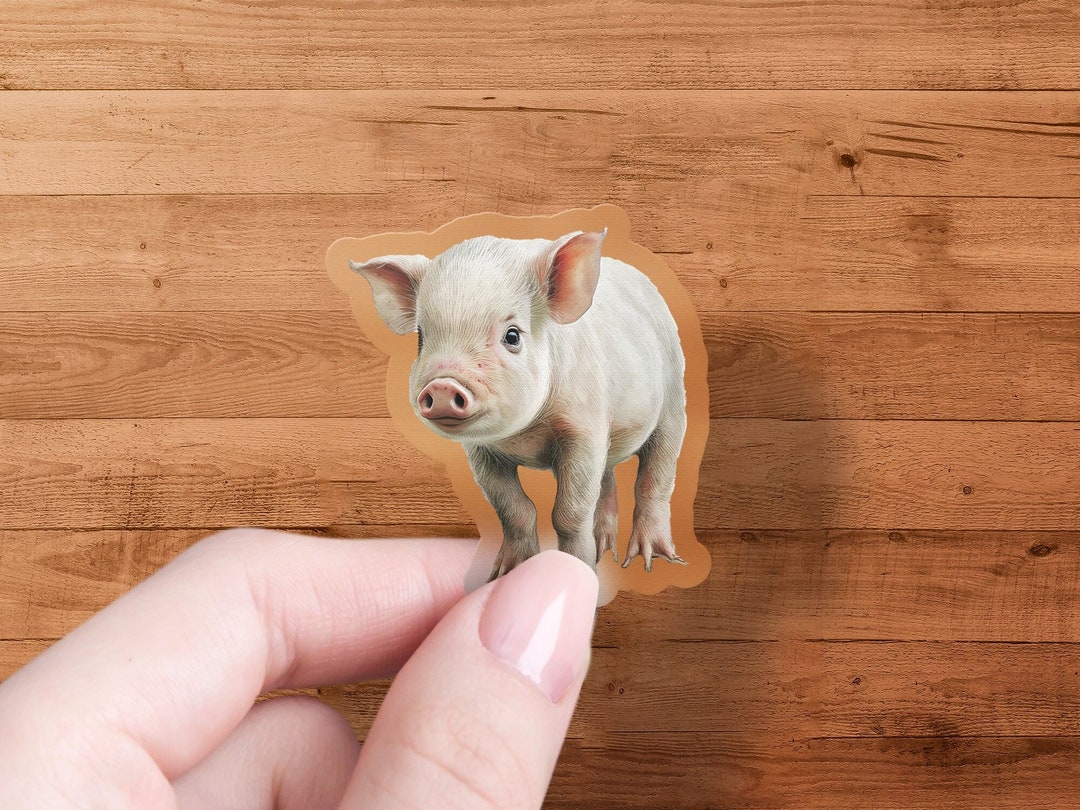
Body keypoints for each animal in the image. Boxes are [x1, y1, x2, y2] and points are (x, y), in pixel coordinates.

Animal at [350, 230, 687, 579]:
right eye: (421, 337)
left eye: (512, 336)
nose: (443, 385)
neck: (524, 436)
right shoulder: (481, 451)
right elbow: (514, 508)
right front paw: (505, 573)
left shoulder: (584, 429)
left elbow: (569, 514)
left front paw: (578, 571)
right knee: (607, 479)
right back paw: (605, 549)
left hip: (674, 399)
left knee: (656, 475)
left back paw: (649, 560)